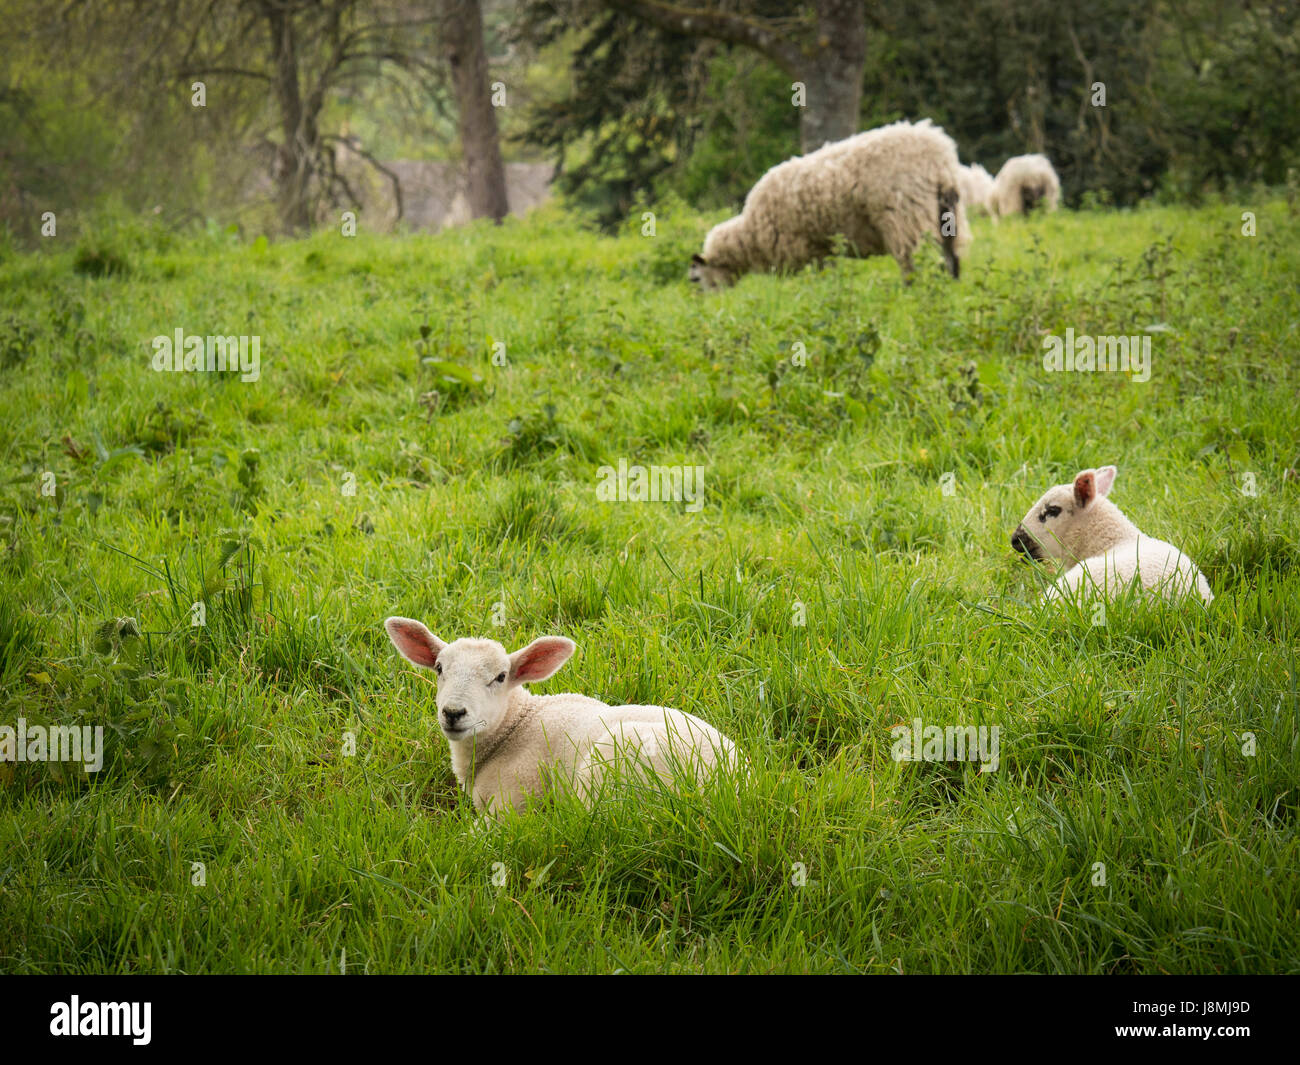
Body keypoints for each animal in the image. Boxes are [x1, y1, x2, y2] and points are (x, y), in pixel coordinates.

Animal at [384, 617, 741, 816]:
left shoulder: (513, 801)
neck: (515, 725)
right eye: (439, 668)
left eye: (500, 677)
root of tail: (735, 789)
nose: (453, 712)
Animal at [689, 118, 972, 288]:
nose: (708, 306)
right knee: (951, 258)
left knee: (920, 261)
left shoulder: (802, 249)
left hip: (907, 215)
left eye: (695, 279)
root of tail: (940, 156)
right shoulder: (821, 247)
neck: (750, 232)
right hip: (948, 213)